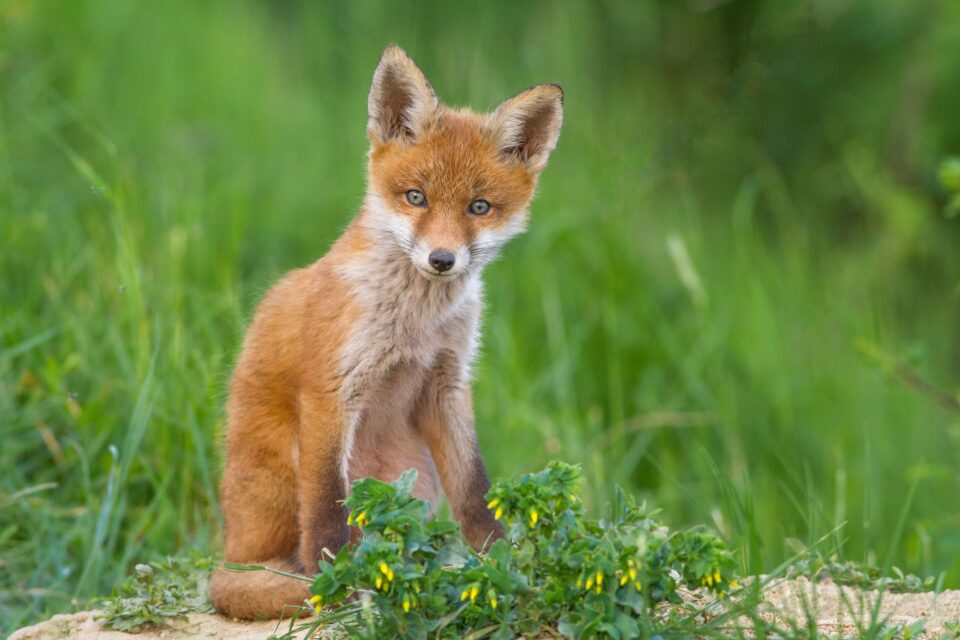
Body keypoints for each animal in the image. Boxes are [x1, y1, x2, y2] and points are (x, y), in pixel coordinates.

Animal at [209, 44, 563, 619]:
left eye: (479, 207)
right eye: (416, 197)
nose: (442, 260)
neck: (416, 326)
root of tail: (229, 552)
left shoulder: (447, 384)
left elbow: (475, 490)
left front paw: (504, 567)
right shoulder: (331, 391)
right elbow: (327, 515)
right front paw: (338, 592)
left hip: (414, 477)